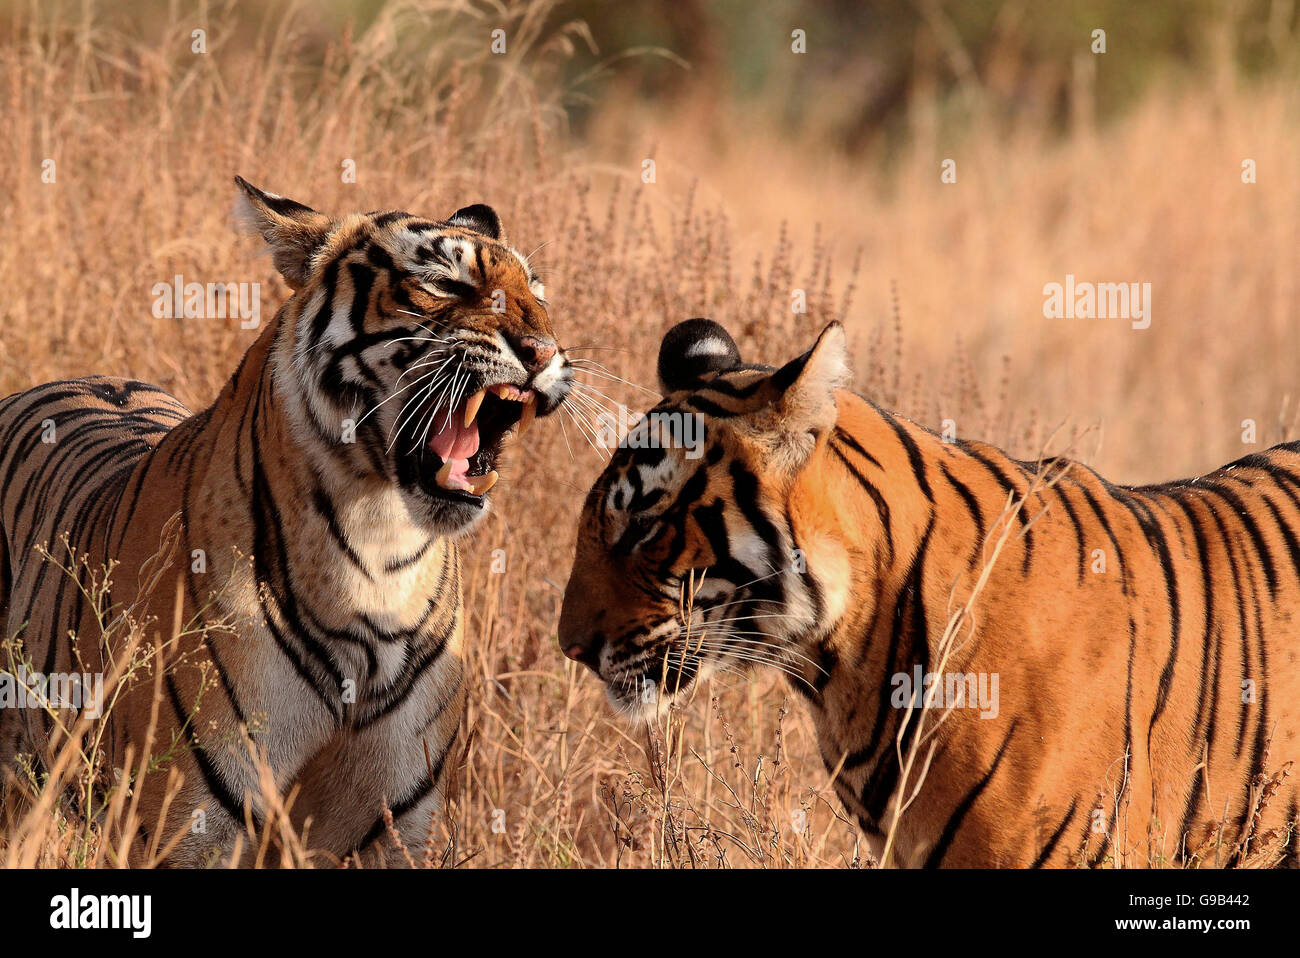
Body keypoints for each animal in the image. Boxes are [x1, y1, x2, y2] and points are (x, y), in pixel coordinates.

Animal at [0, 177, 571, 866]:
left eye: (539, 293)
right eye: (442, 281)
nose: (543, 352)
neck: (379, 552)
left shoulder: (385, 828)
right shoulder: (187, 827)